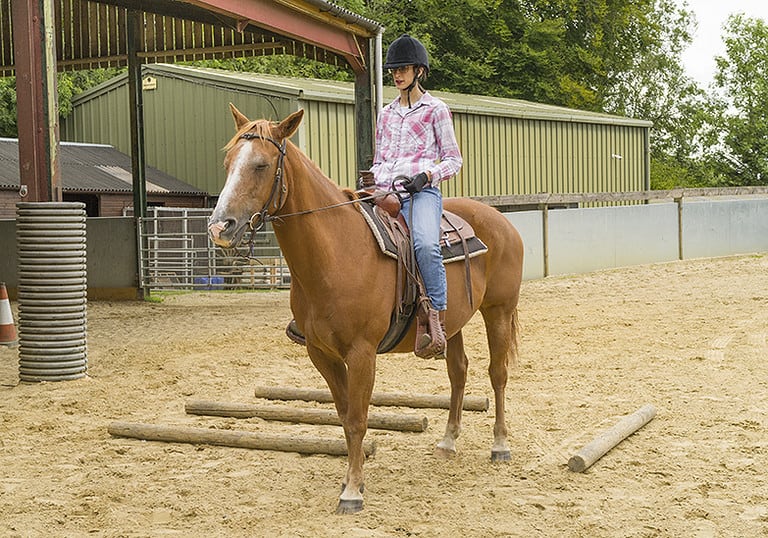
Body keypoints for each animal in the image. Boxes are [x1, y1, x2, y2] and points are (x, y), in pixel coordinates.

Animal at [208, 104, 524, 514]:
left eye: (261, 165)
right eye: (228, 162)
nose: (220, 228)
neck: (336, 252)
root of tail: (502, 221)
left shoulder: (362, 353)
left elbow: (359, 418)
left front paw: (353, 492)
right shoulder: (320, 353)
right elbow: (344, 416)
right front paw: (349, 480)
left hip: (498, 310)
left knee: (497, 374)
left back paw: (500, 445)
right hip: (453, 322)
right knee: (458, 372)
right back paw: (448, 441)